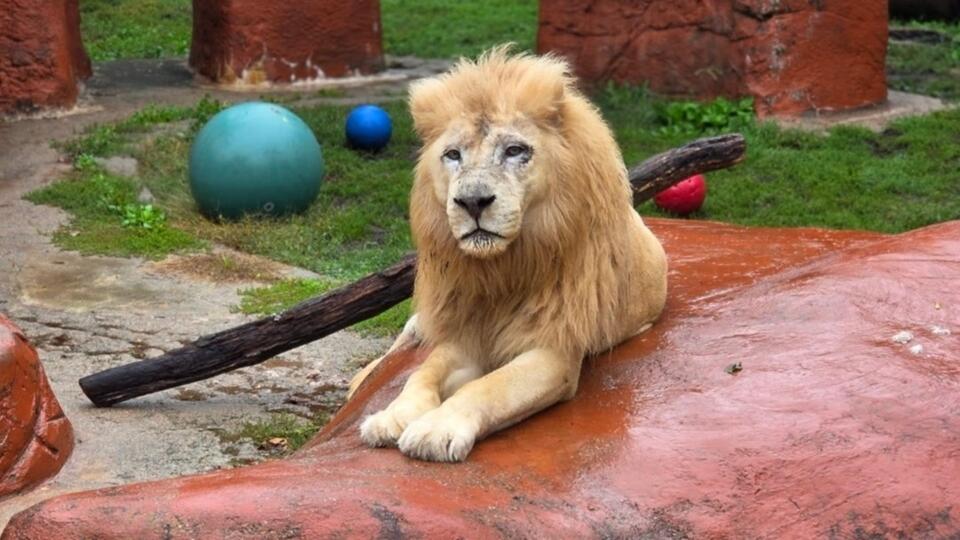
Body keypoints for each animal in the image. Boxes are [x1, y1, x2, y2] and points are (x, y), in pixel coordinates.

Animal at [352, 47, 667, 462]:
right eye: (453, 155)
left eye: (515, 151)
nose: (472, 202)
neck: (501, 269)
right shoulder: (464, 335)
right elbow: (421, 373)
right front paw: (392, 417)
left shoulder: (553, 350)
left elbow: (490, 386)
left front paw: (436, 430)